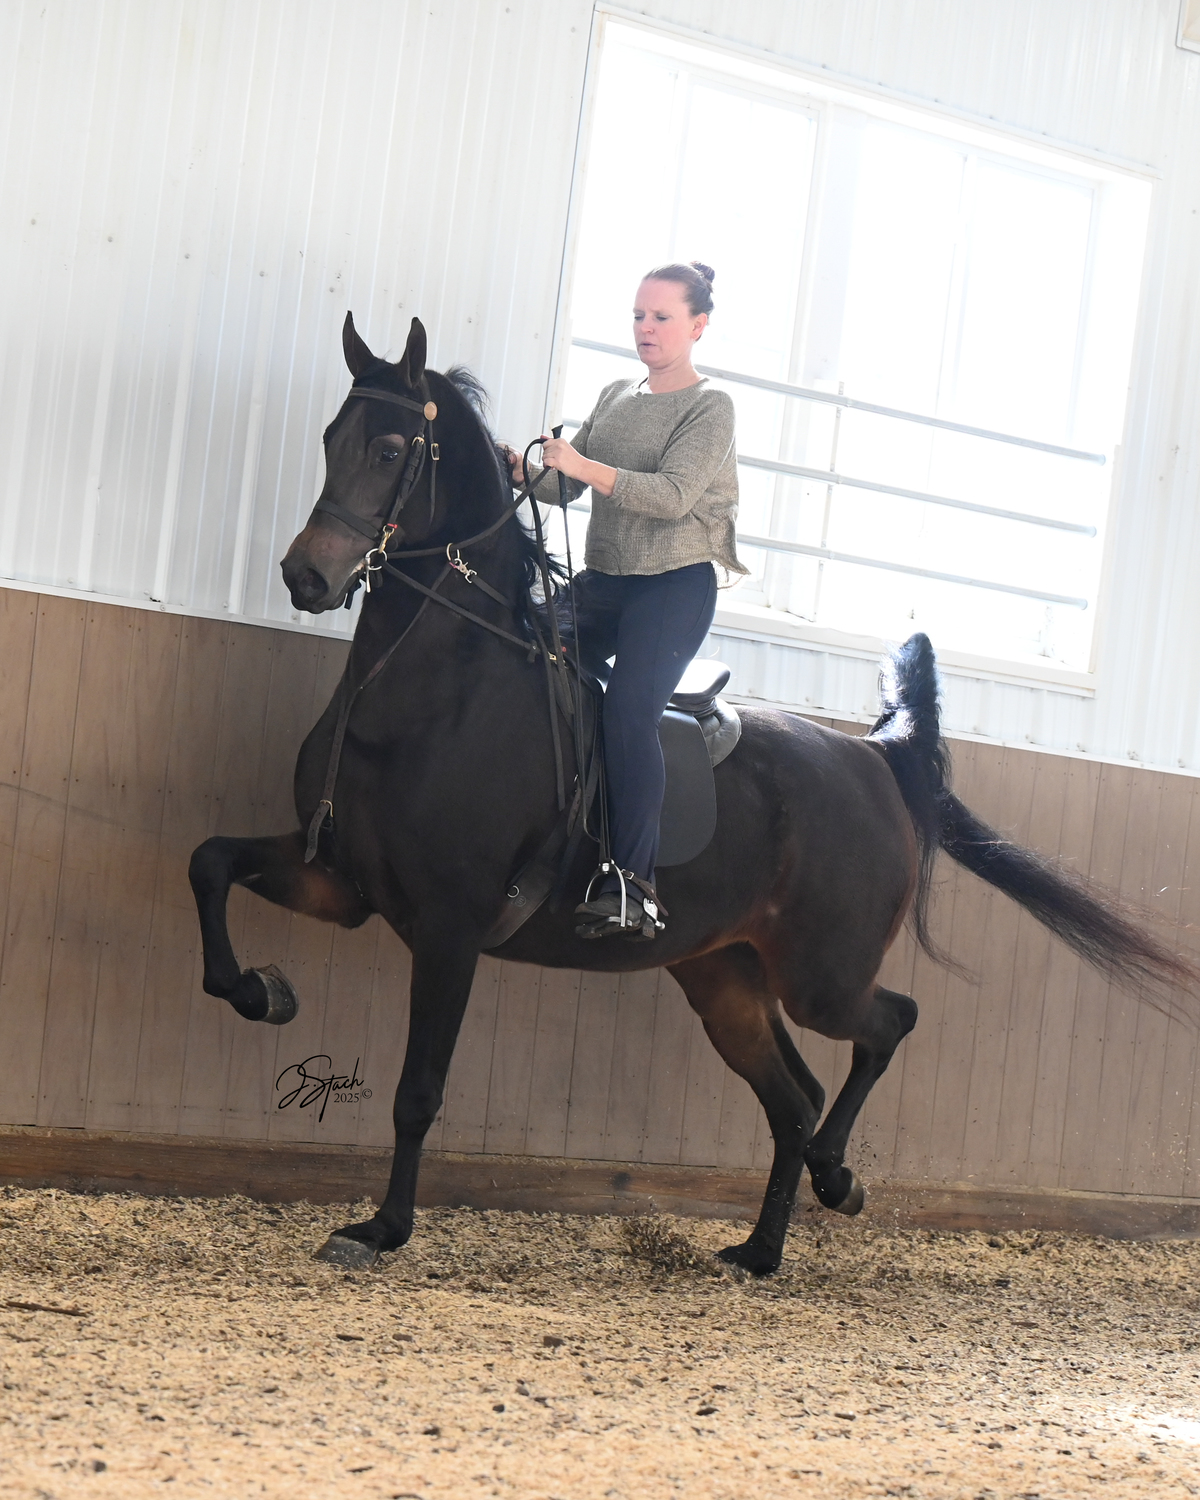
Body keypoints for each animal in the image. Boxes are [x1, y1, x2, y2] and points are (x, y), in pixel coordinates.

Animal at [189, 313, 1196, 1276]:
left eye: (394, 449)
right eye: (332, 437)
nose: (307, 576)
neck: (431, 694)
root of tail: (872, 759)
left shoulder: (448, 928)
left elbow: (416, 1093)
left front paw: (383, 1229)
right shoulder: (343, 883)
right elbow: (209, 865)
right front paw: (263, 992)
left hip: (818, 976)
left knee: (886, 1026)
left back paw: (838, 1181)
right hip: (726, 977)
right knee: (795, 1098)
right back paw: (761, 1250)